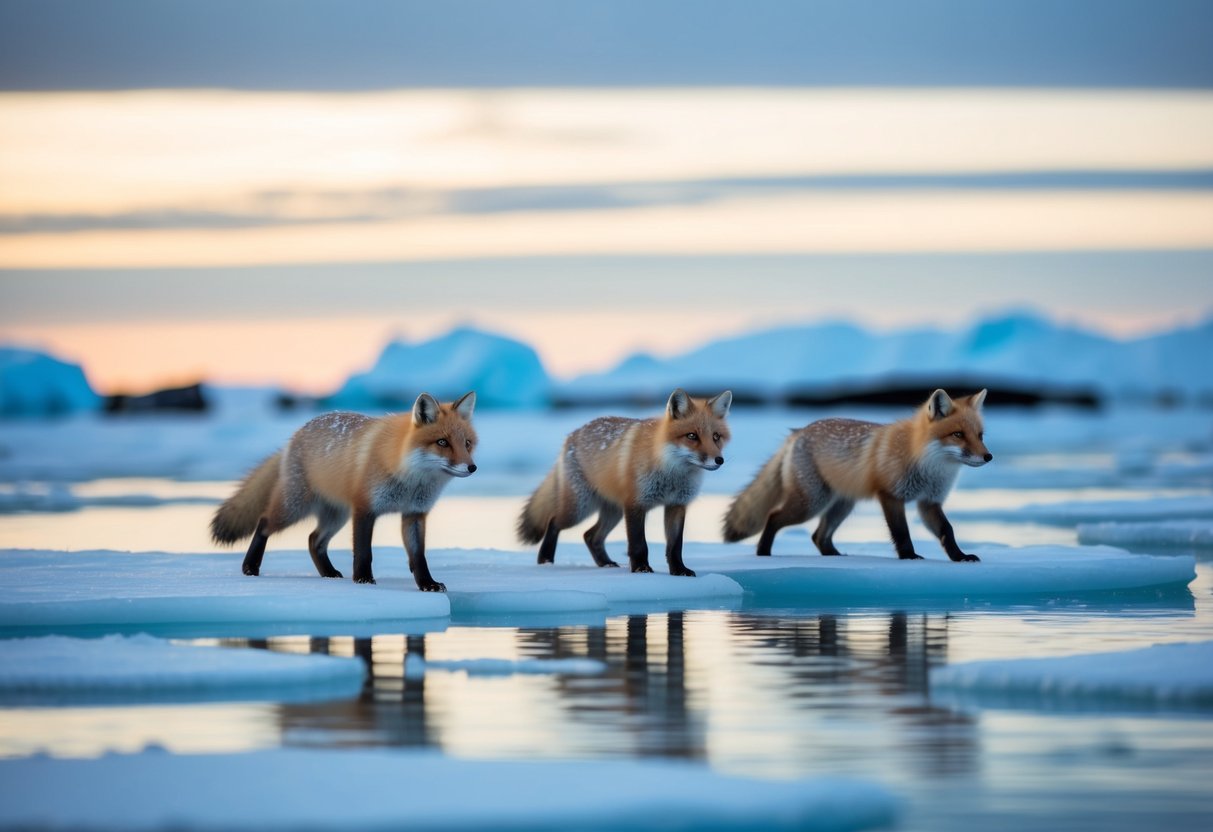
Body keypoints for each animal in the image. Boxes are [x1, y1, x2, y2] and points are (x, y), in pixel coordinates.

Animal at [210, 391, 477, 592]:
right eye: (442, 442)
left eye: (467, 443)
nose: (472, 467)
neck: (409, 479)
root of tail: (295, 435)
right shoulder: (364, 508)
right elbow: (363, 552)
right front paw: (363, 580)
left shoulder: (414, 514)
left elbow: (418, 557)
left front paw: (427, 584)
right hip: (295, 508)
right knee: (264, 522)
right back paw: (250, 567)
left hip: (336, 515)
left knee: (313, 540)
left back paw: (328, 573)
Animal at [517, 388, 732, 576]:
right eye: (692, 436)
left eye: (716, 437)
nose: (719, 460)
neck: (671, 473)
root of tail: (571, 435)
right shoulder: (635, 504)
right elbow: (638, 544)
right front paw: (641, 569)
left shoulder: (676, 505)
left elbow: (675, 546)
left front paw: (679, 571)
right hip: (579, 509)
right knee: (553, 522)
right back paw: (545, 561)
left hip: (613, 512)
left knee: (590, 536)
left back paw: (605, 564)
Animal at [723, 388, 992, 562]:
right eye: (958, 434)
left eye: (980, 436)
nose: (988, 457)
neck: (928, 466)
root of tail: (798, 432)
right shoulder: (891, 495)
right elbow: (901, 532)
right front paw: (909, 556)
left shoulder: (929, 502)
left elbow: (948, 531)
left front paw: (960, 556)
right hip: (810, 503)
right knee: (774, 516)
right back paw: (763, 554)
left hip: (842, 505)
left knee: (818, 536)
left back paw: (836, 557)